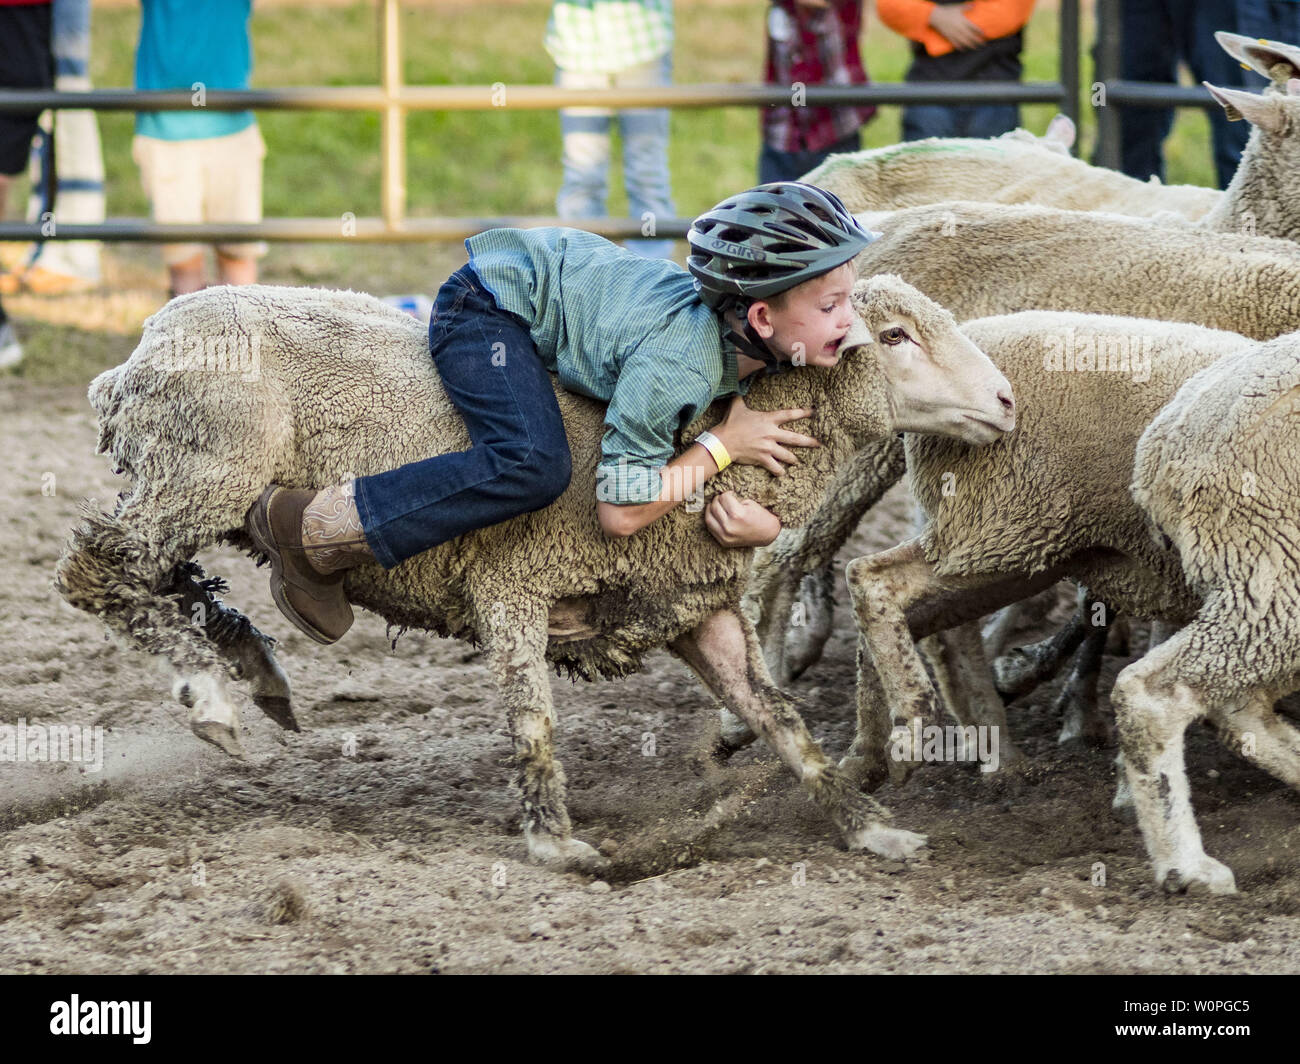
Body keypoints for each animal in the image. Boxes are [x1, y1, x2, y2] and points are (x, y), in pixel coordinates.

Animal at [54, 275, 1016, 872]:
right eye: (893, 336)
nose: (1007, 400)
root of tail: (137, 351)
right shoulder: (514, 585)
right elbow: (535, 721)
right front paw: (555, 844)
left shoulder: (696, 610)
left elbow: (780, 719)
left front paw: (871, 831)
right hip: (205, 467)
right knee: (98, 570)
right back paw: (211, 693)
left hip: (194, 479)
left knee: (166, 579)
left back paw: (254, 661)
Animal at [839, 313, 1266, 894]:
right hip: (998, 525)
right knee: (874, 578)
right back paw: (919, 733)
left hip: (1029, 550)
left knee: (911, 612)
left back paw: (877, 759)